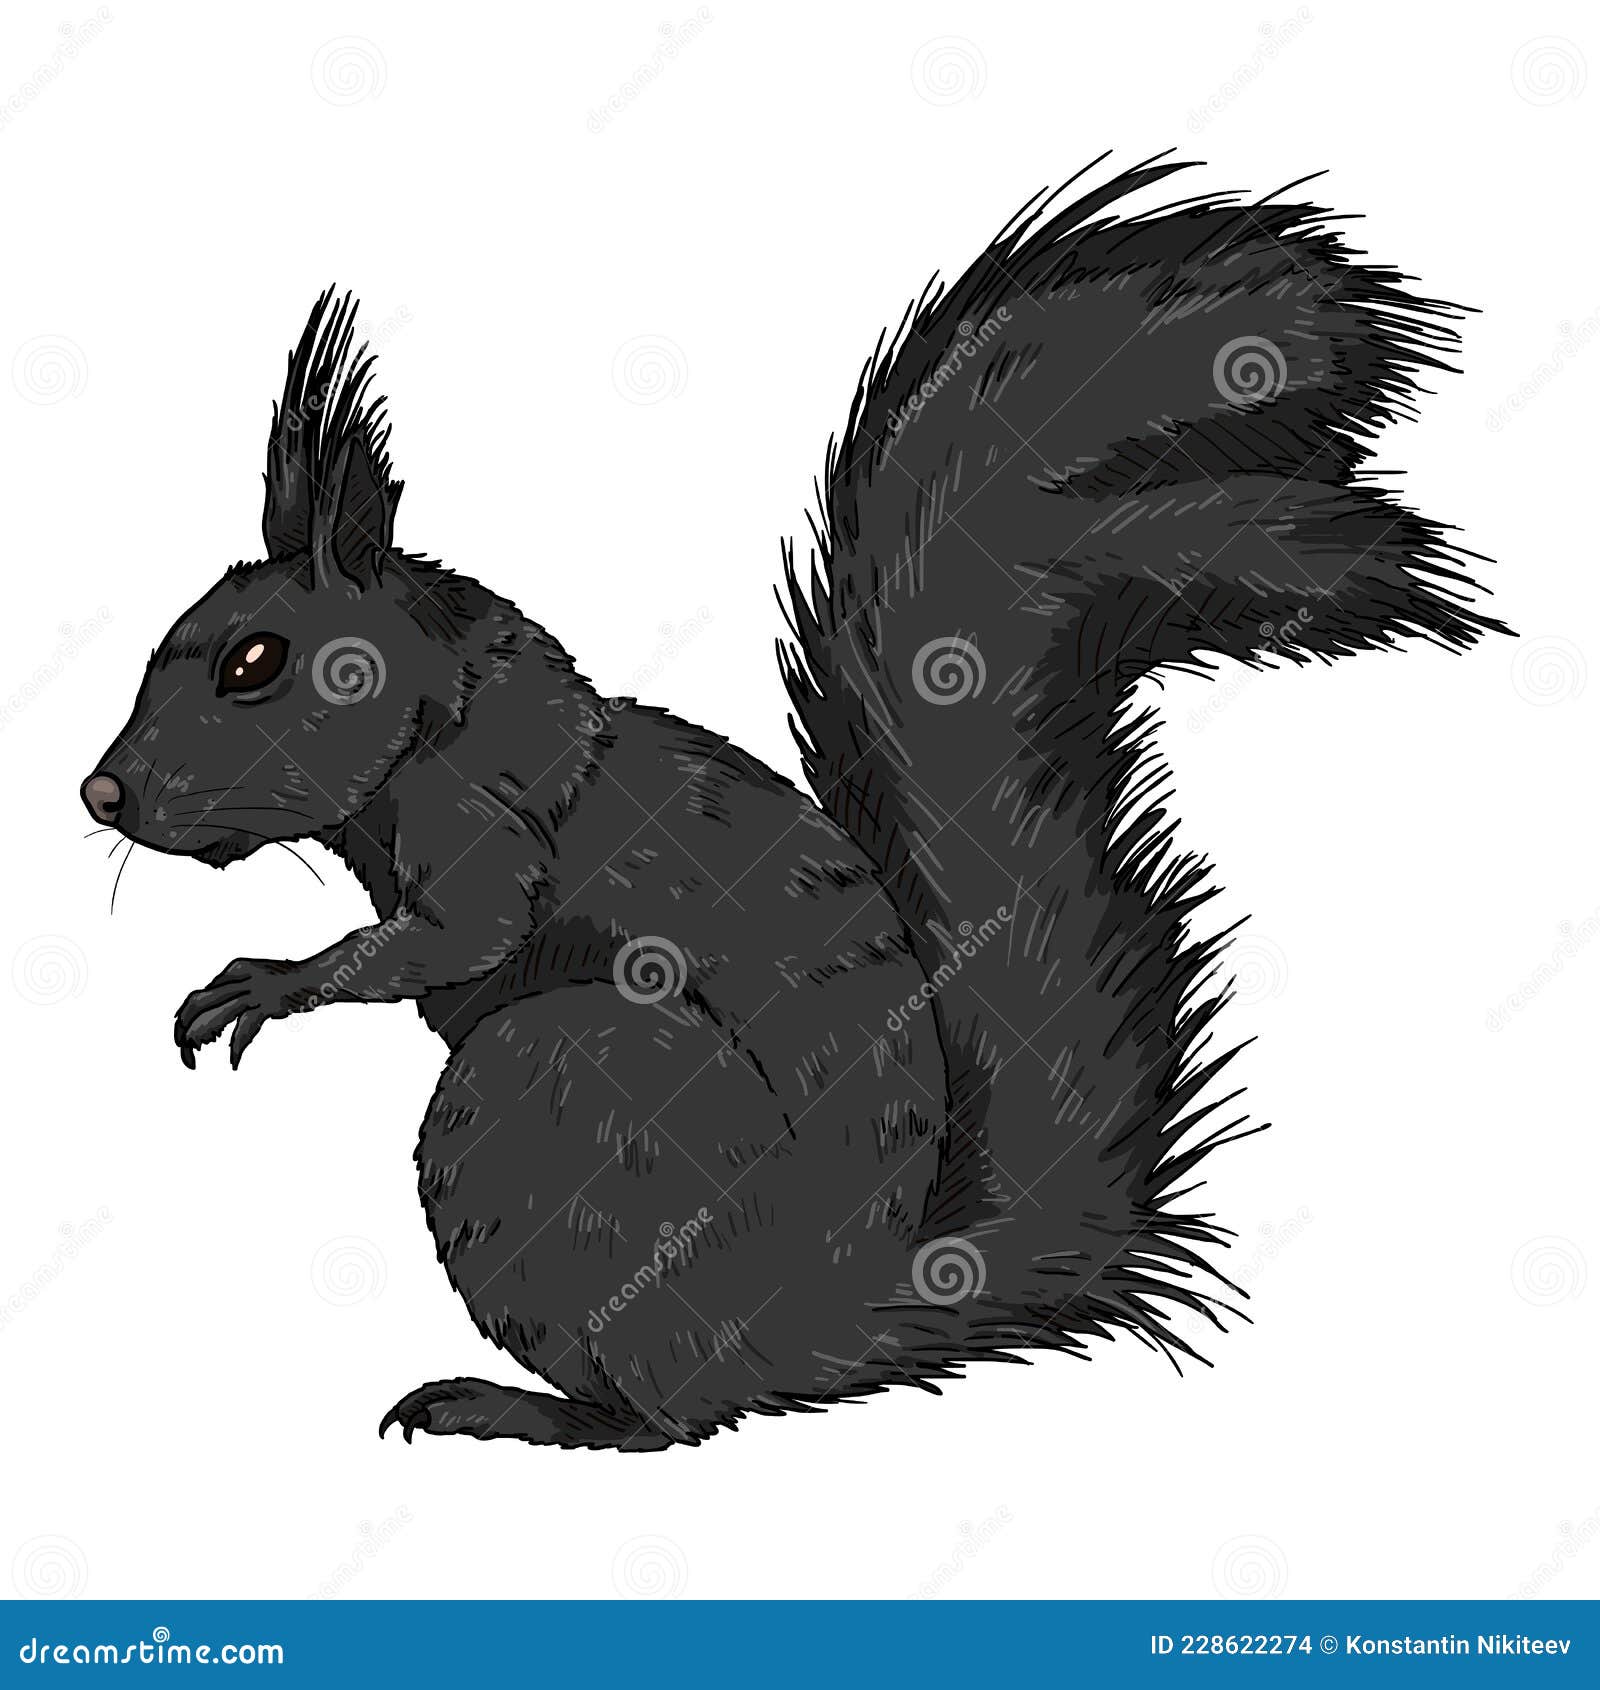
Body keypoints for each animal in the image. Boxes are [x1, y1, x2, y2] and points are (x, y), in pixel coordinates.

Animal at [82, 158, 1497, 1452]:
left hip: (553, 1087)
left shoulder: (488, 818)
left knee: (668, 1418)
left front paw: (261, 982)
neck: (446, 700)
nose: (101, 790)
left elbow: (459, 931)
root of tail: (822, 1320)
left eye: (254, 662)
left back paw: (514, 1407)